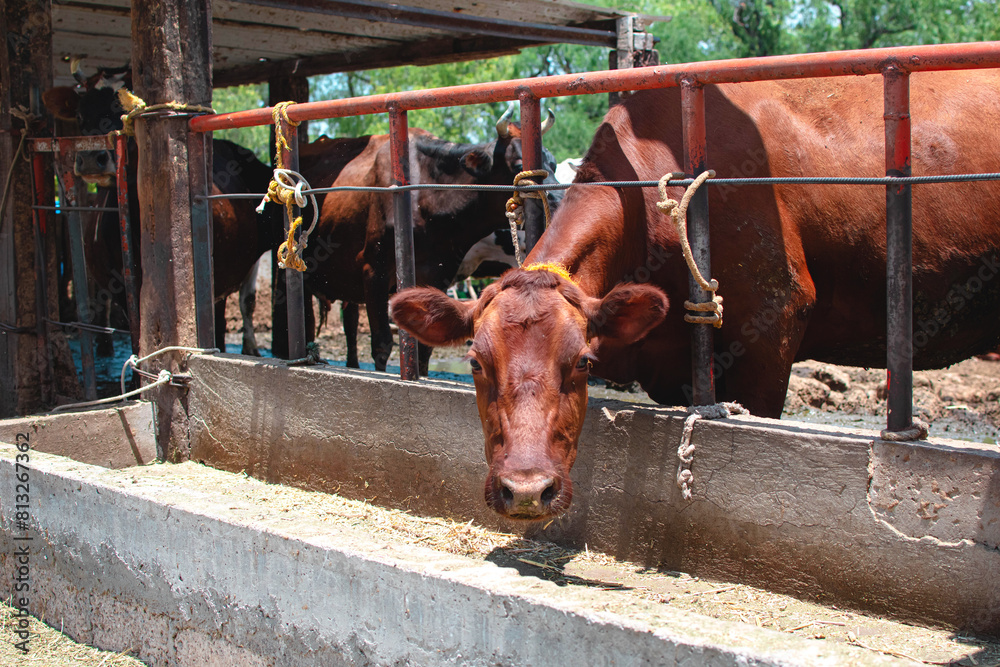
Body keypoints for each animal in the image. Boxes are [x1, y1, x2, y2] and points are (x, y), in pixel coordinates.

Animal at [43, 63, 280, 356]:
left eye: (121, 110)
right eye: (79, 114)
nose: (89, 158)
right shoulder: (123, 291)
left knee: (245, 301)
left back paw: (250, 347)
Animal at [299, 107, 561, 372]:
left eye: (553, 165)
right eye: (518, 163)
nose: (560, 201)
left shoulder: (437, 274)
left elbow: (425, 346)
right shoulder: (373, 269)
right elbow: (382, 343)